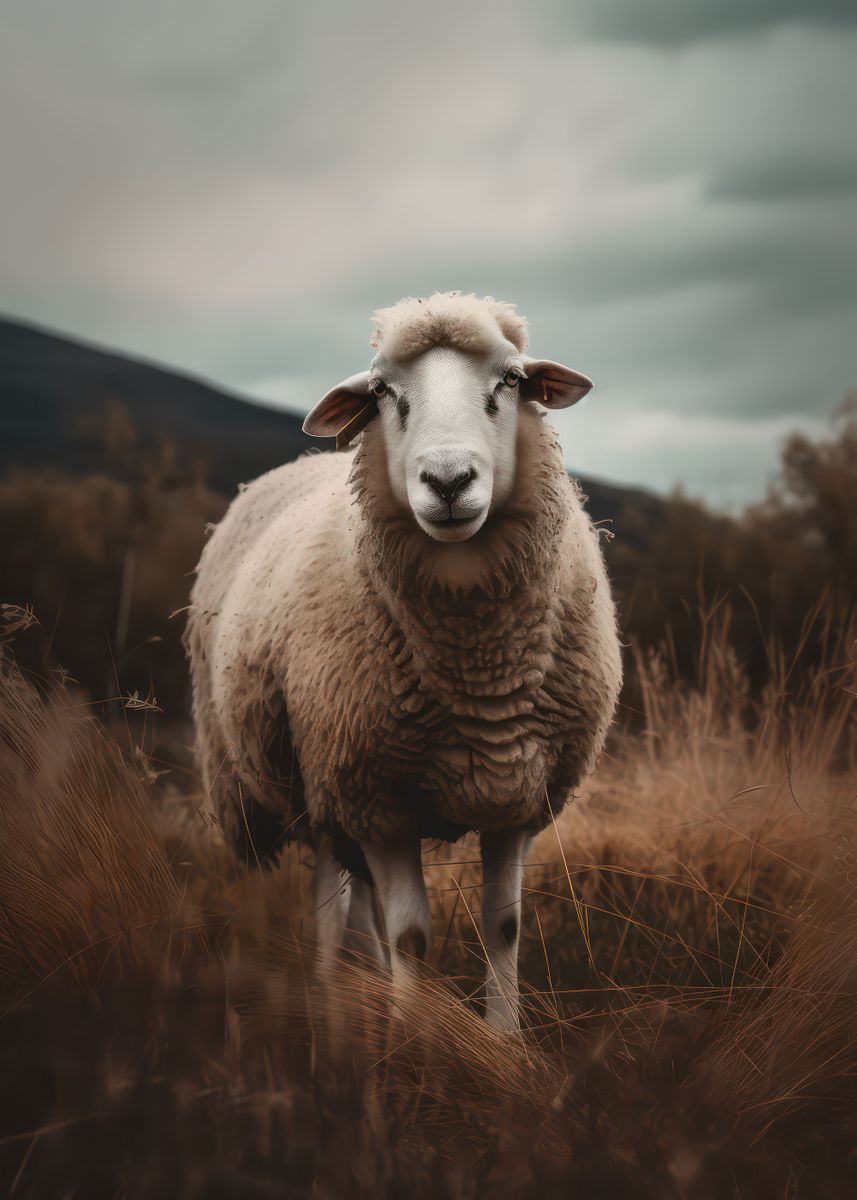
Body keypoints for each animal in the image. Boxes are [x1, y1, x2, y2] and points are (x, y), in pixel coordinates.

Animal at [186, 292, 622, 1031]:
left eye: (510, 381)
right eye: (385, 392)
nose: (447, 481)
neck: (480, 671)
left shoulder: (518, 798)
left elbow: (502, 927)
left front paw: (502, 1042)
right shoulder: (376, 798)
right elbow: (411, 934)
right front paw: (414, 1040)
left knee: (357, 907)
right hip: (294, 785)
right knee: (330, 908)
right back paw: (329, 1003)